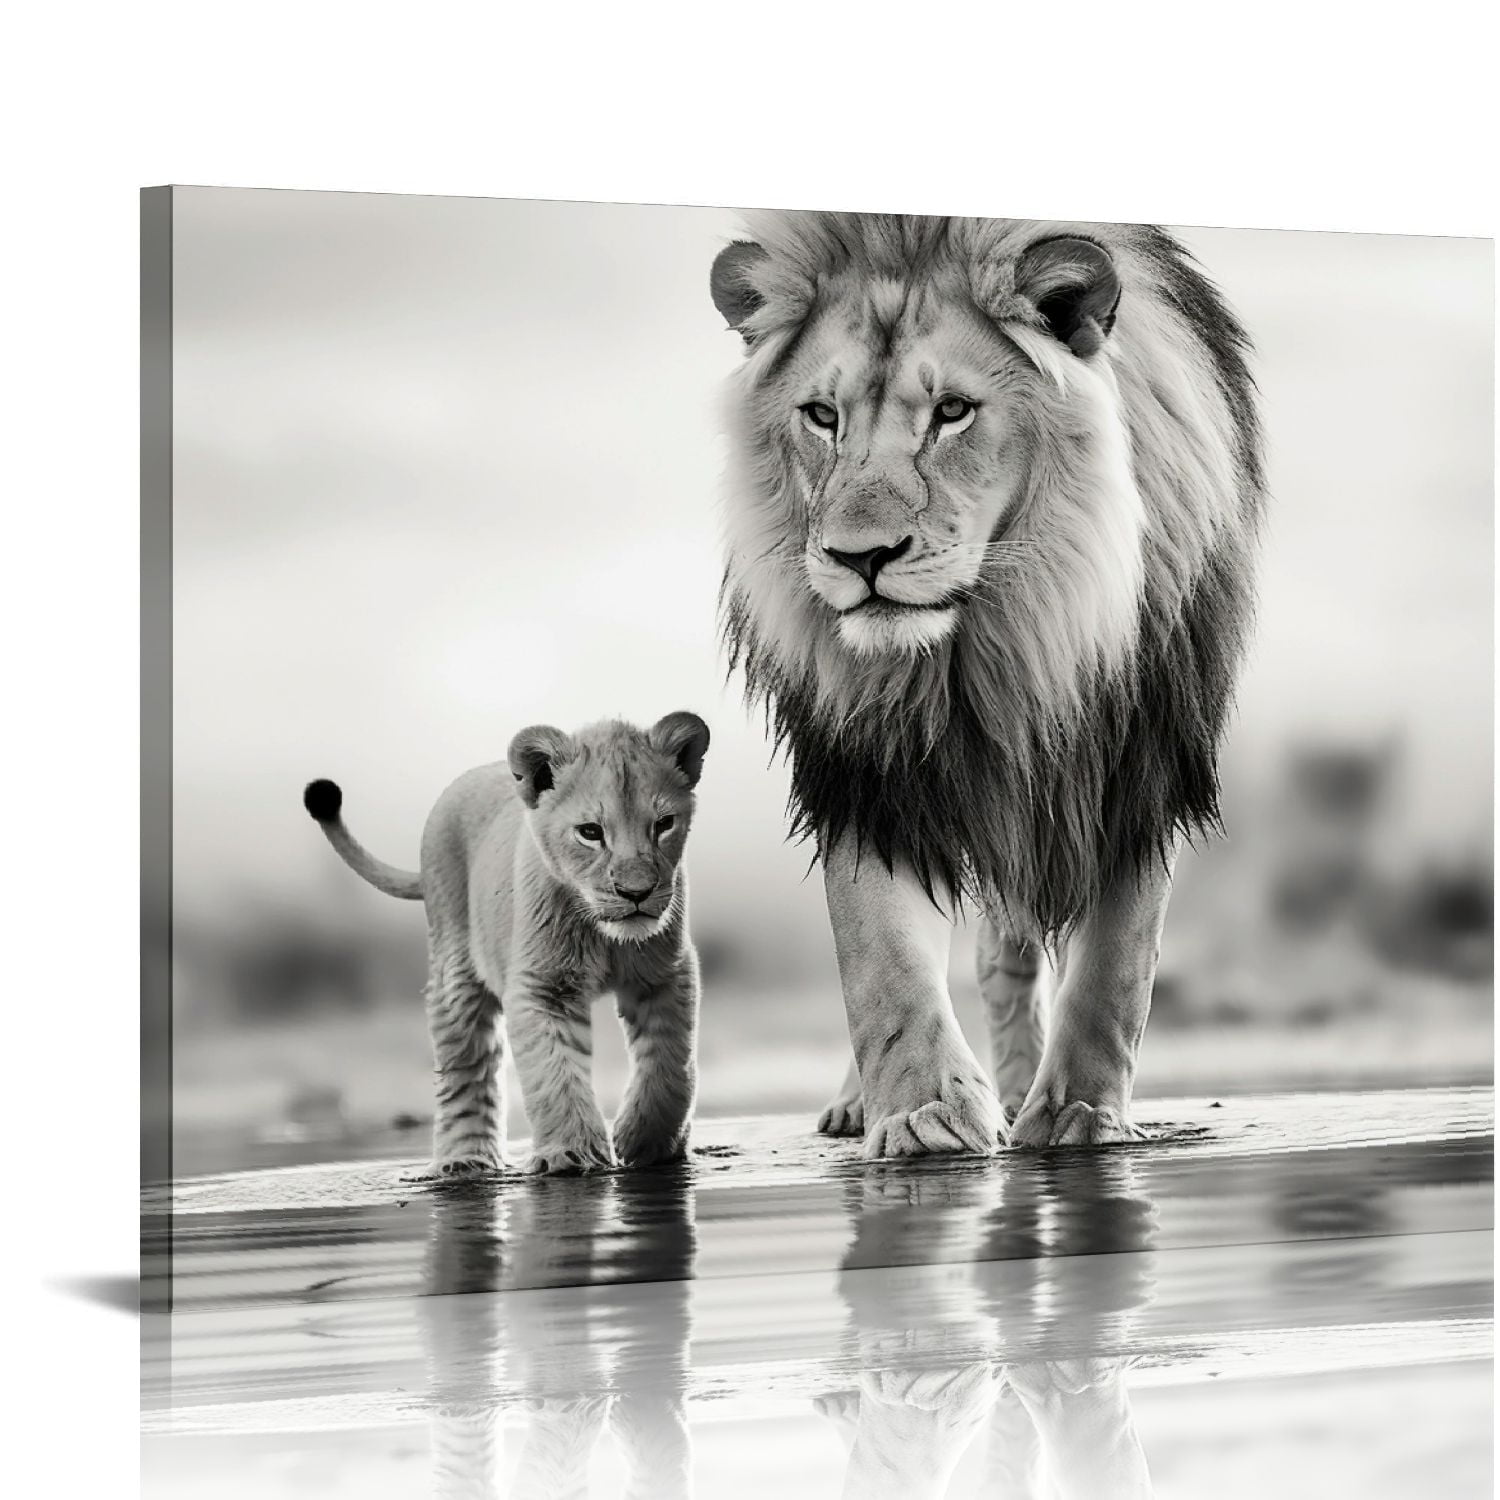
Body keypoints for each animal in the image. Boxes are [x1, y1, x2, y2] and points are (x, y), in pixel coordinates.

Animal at [302, 711, 711, 1176]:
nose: (637, 892)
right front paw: (570, 1154)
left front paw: (648, 1142)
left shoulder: (666, 975)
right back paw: (464, 1162)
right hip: (455, 972)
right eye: (590, 832)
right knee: (466, 1068)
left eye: (663, 825)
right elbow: (552, 1072)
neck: (604, 935)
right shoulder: (541, 987)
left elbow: (669, 1063)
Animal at [710, 213, 1263, 1156]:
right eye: (821, 416)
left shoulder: (1142, 755)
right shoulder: (862, 761)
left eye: (952, 413)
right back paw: (864, 1102)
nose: (859, 557)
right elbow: (883, 958)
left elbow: (1114, 970)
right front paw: (923, 1115)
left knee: (1011, 955)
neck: (1002, 639)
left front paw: (1079, 1115)